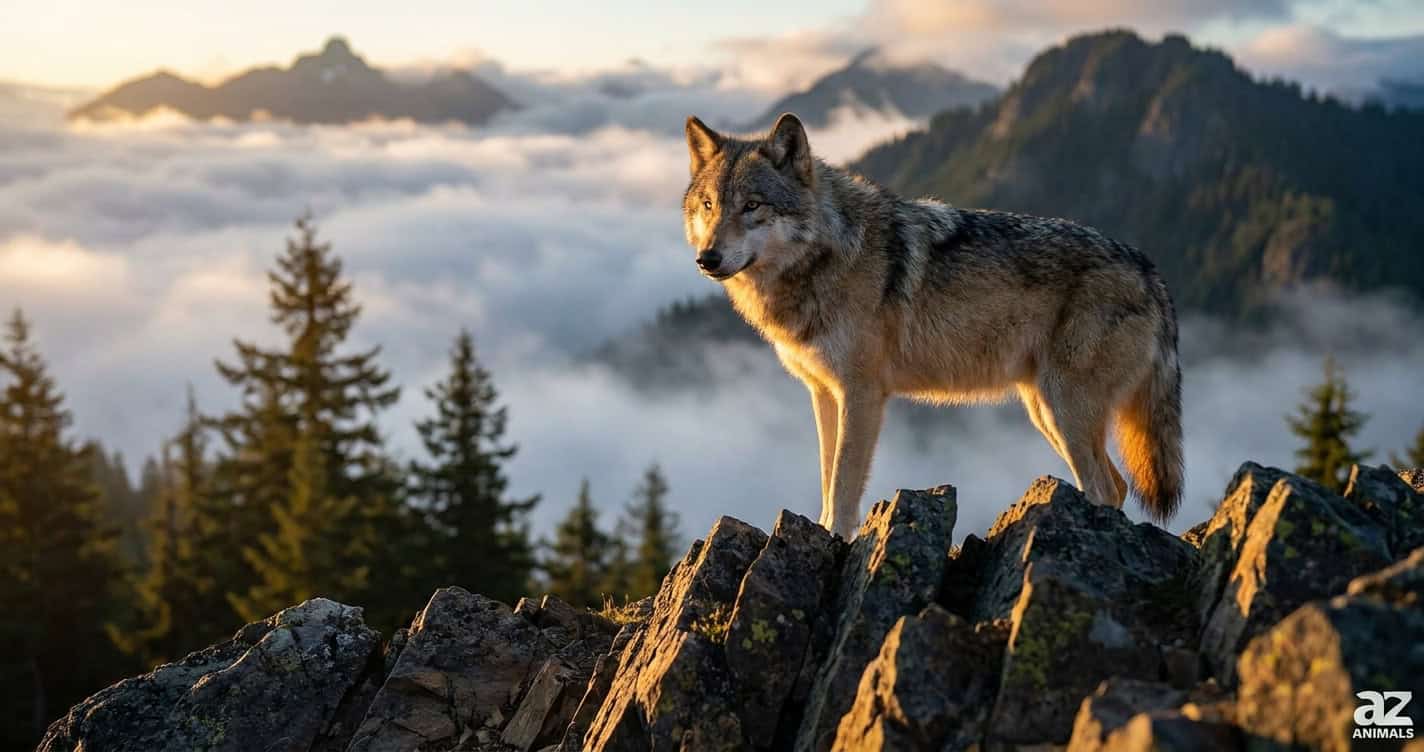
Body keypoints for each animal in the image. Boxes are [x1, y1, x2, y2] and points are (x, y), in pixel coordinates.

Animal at [681, 112, 1183, 539]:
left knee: (1103, 488)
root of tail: (1150, 270)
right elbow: (827, 476)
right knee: (1118, 487)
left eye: (752, 205)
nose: (707, 259)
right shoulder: (823, 393)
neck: (825, 256)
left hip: (1065, 410)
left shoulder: (862, 394)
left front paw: (835, 537)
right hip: (1046, 412)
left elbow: (843, 482)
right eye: (708, 205)